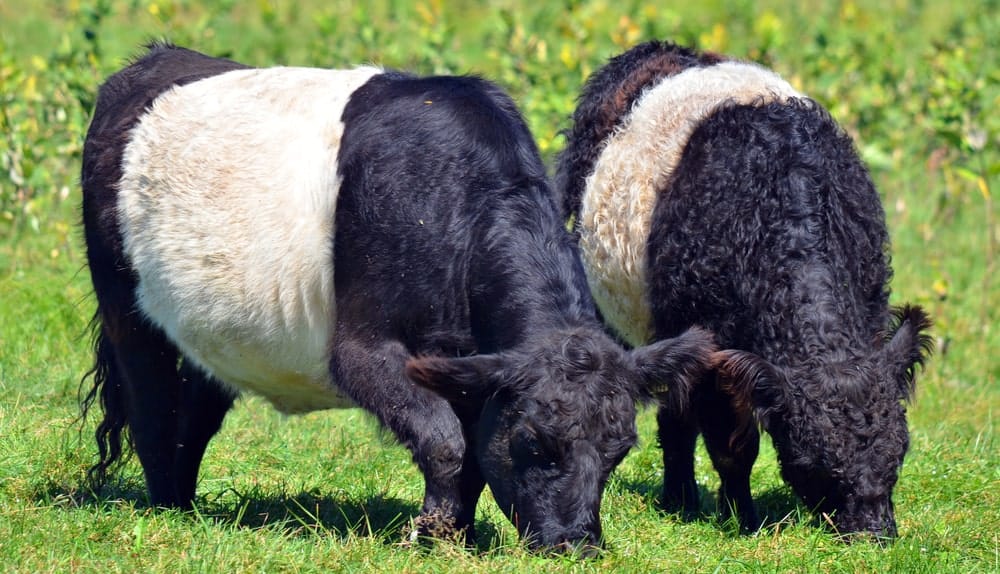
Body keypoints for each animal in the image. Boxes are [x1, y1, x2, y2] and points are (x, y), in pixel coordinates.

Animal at [77, 43, 717, 553]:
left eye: (618, 451)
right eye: (536, 441)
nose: (576, 544)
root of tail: (151, 60)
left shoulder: (467, 369)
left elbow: (471, 455)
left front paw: (455, 532)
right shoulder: (364, 350)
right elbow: (446, 443)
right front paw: (430, 532)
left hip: (204, 334)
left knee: (194, 414)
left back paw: (187, 504)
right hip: (127, 311)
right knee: (152, 410)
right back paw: (169, 512)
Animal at [554, 40, 932, 540]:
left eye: (899, 452)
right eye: (815, 464)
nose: (873, 534)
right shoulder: (713, 353)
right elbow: (733, 444)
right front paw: (742, 517)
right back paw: (680, 498)